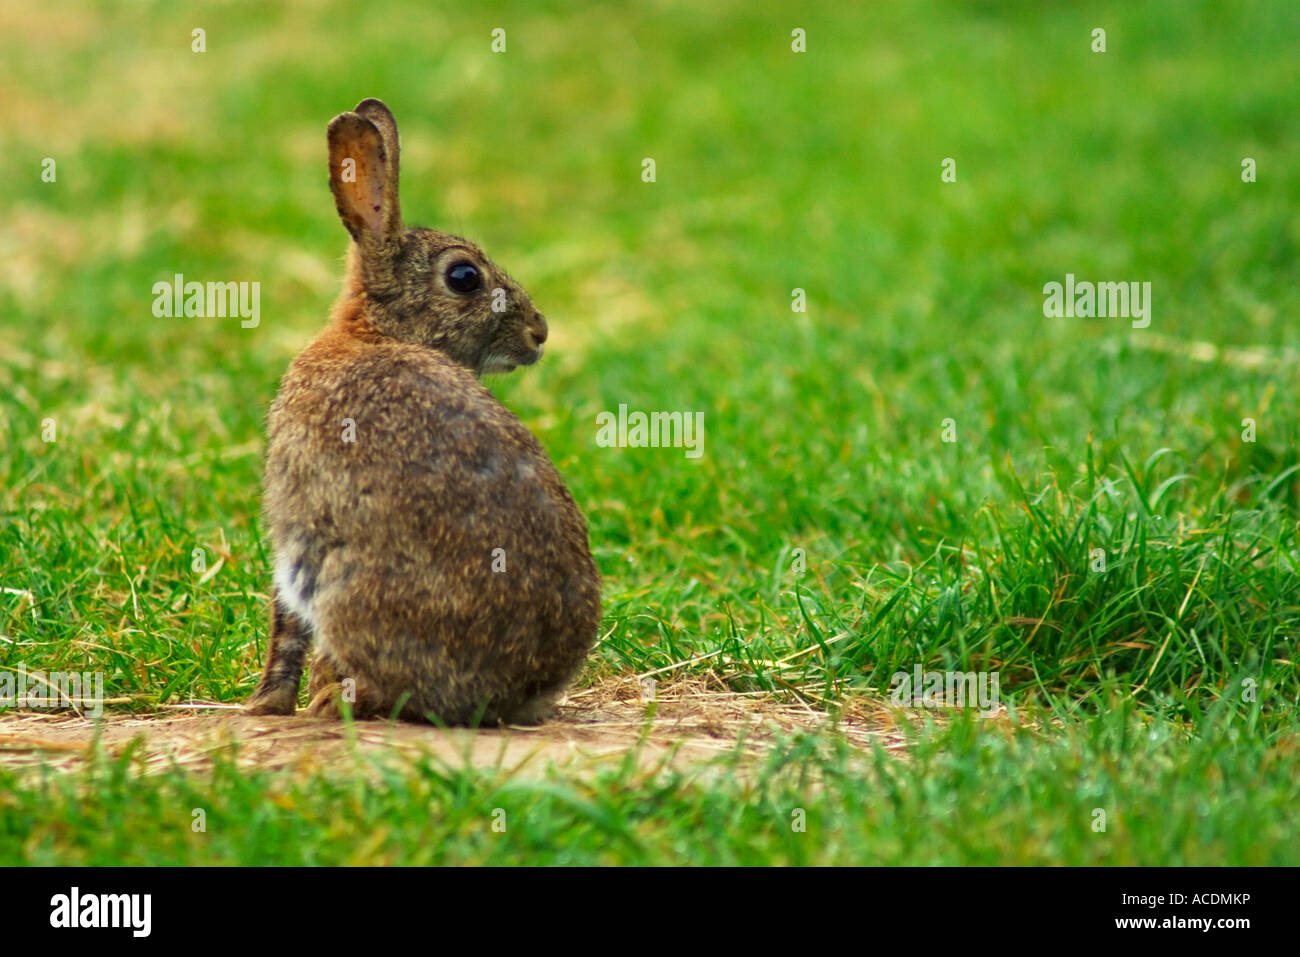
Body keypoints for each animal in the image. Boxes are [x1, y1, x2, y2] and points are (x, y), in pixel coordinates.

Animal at [244, 98, 601, 725]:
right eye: (465, 277)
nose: (539, 333)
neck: (373, 332)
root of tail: (514, 687)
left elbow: (285, 626)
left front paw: (267, 705)